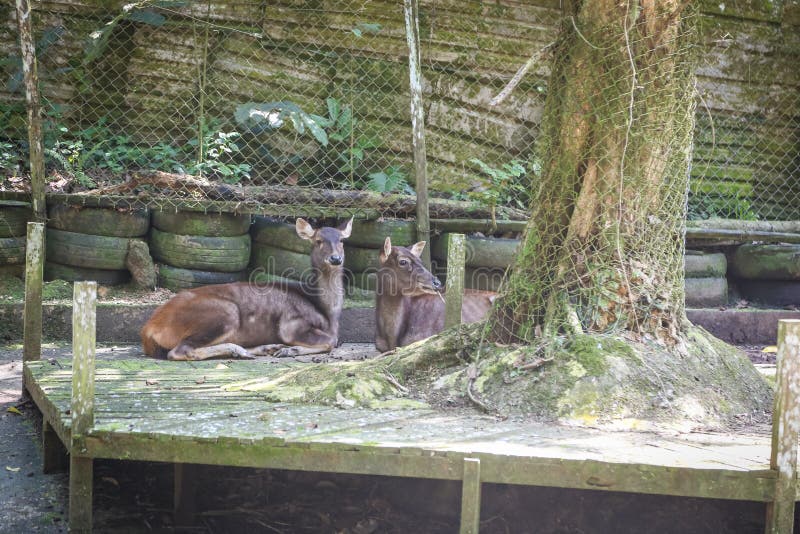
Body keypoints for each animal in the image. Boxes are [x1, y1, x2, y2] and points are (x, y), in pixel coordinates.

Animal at [140, 217, 352, 361]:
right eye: (318, 241)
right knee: (179, 351)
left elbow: (333, 340)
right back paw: (242, 351)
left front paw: (285, 349)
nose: (335, 258)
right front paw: (291, 349)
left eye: (342, 240)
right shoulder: (291, 324)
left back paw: (266, 348)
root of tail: (148, 329)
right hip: (224, 312)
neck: (327, 312)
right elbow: (332, 341)